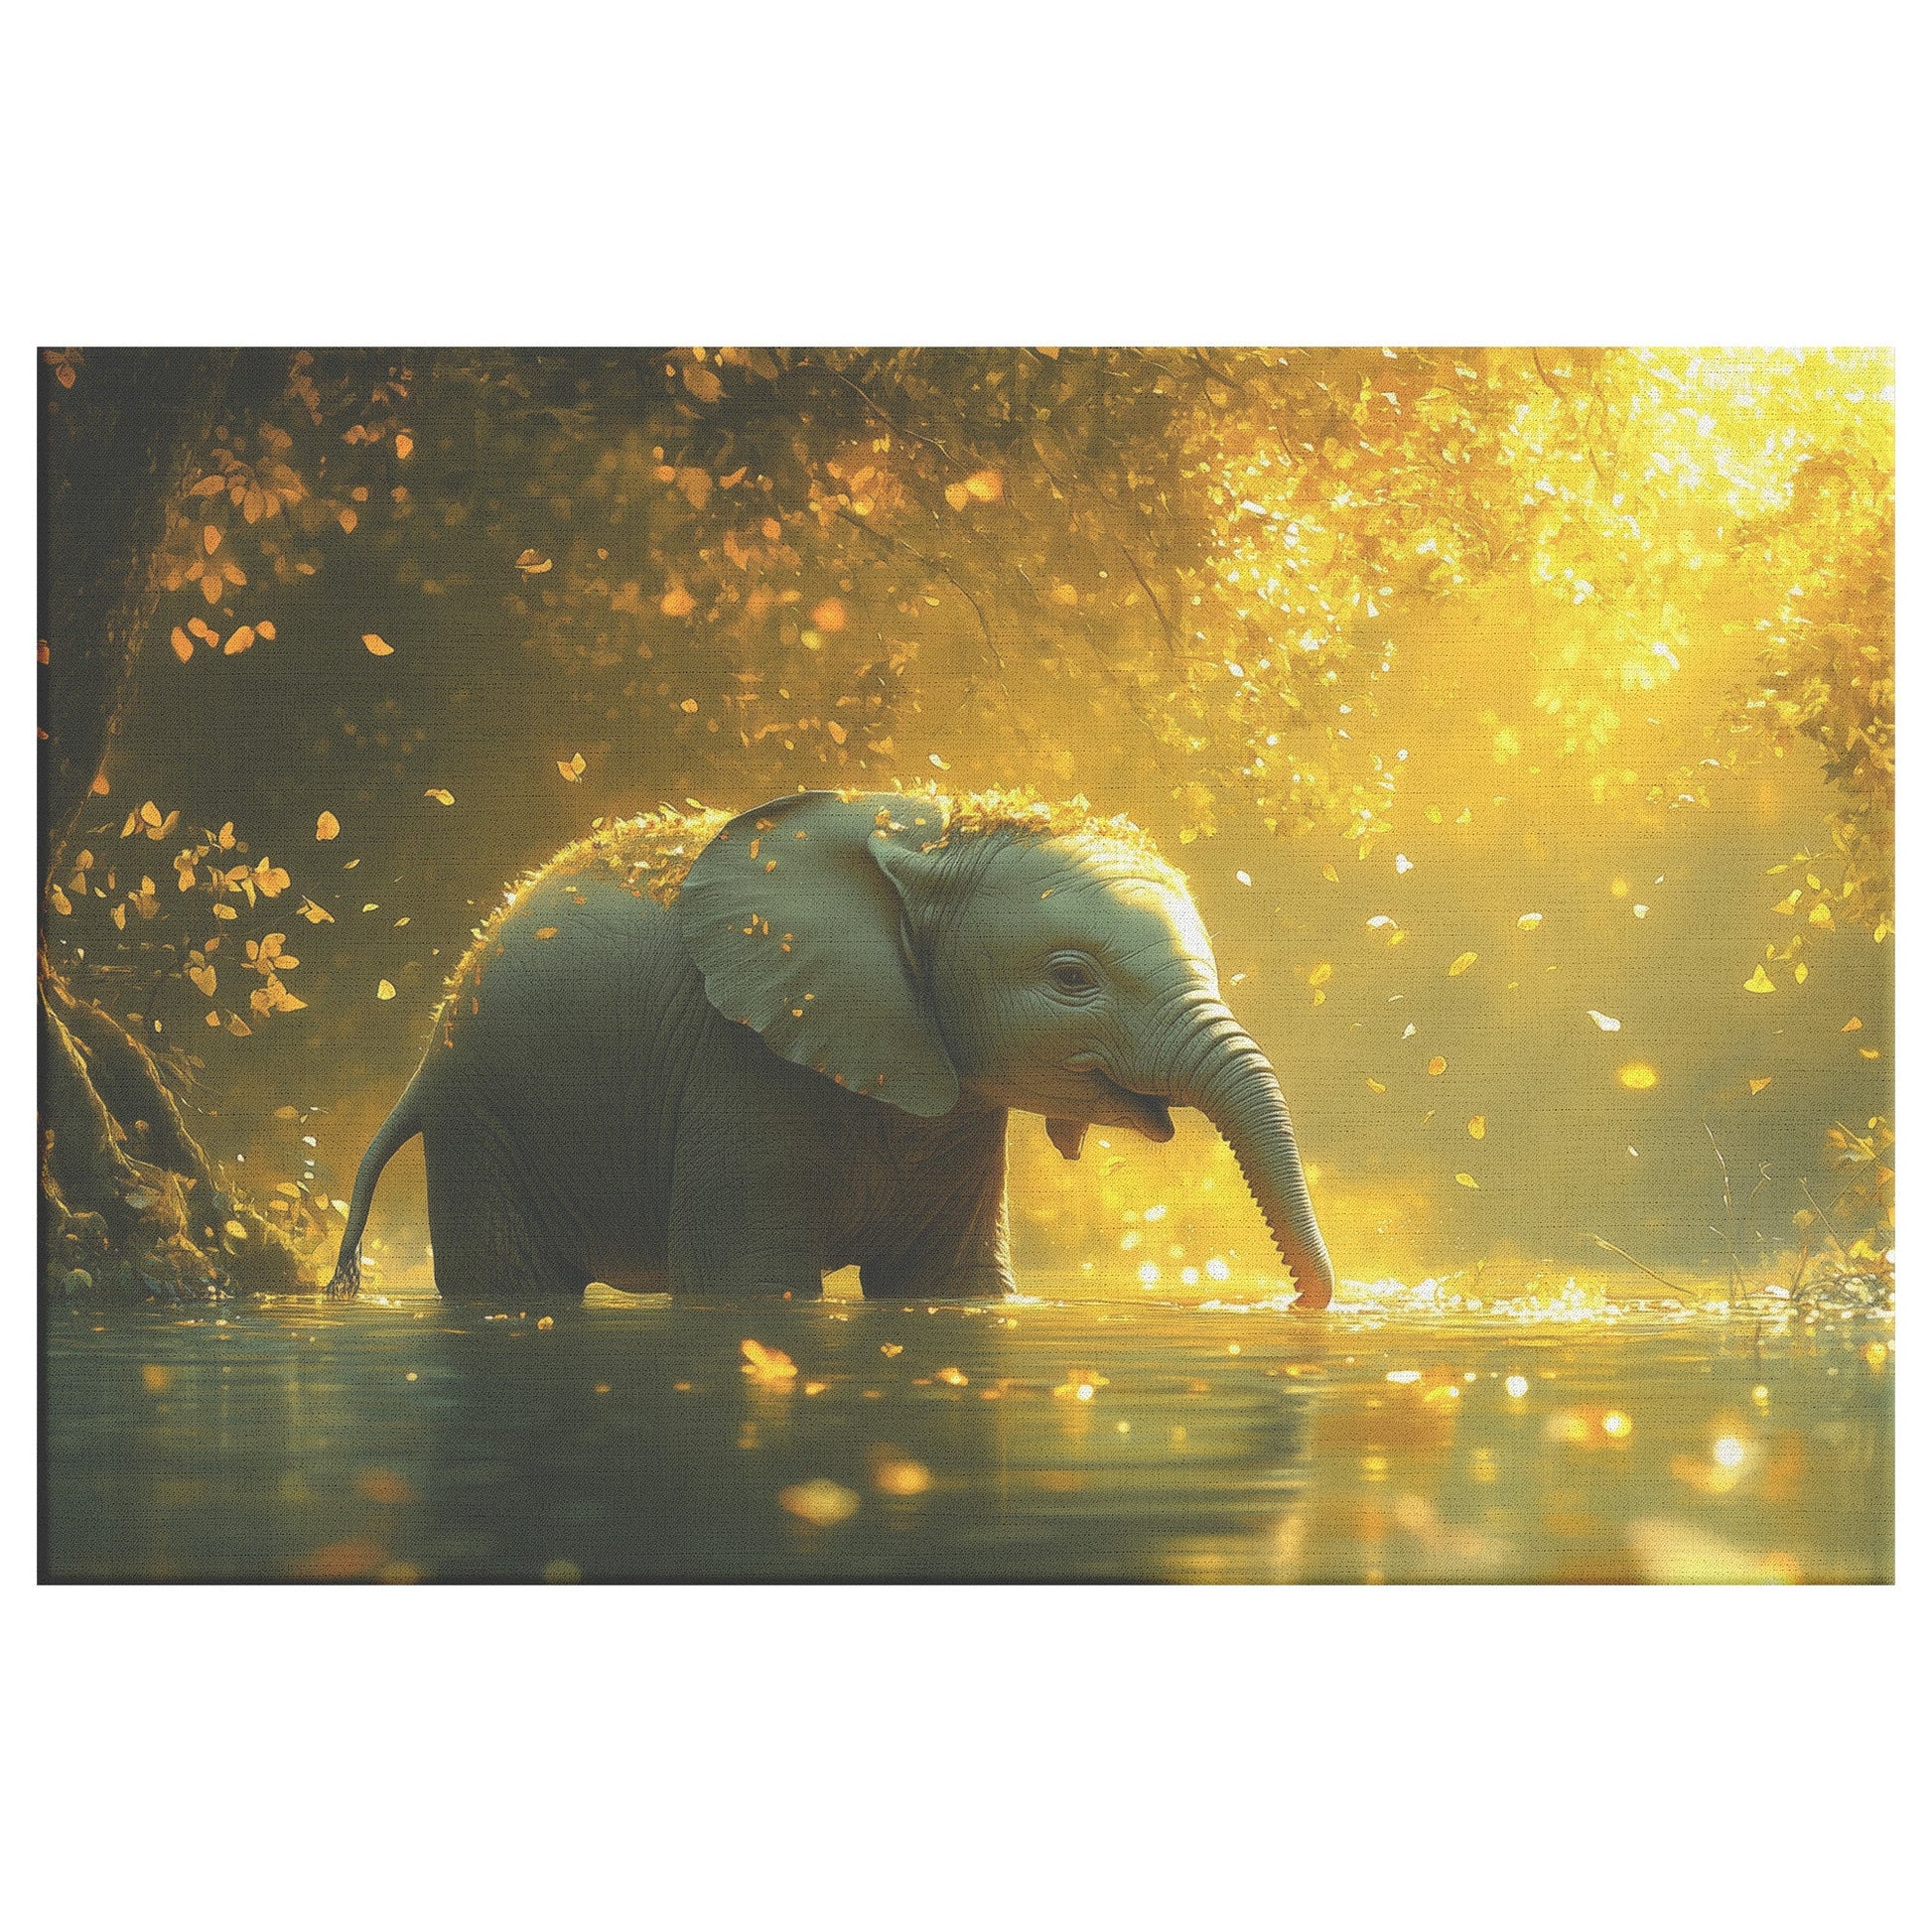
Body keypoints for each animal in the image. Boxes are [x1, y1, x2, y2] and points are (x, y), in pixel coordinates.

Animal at [327, 787, 1335, 1309]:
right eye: (1072, 977)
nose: (1300, 1304)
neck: (932, 844)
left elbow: (946, 1287)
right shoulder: (738, 1061)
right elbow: (752, 1288)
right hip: (480, 1119)